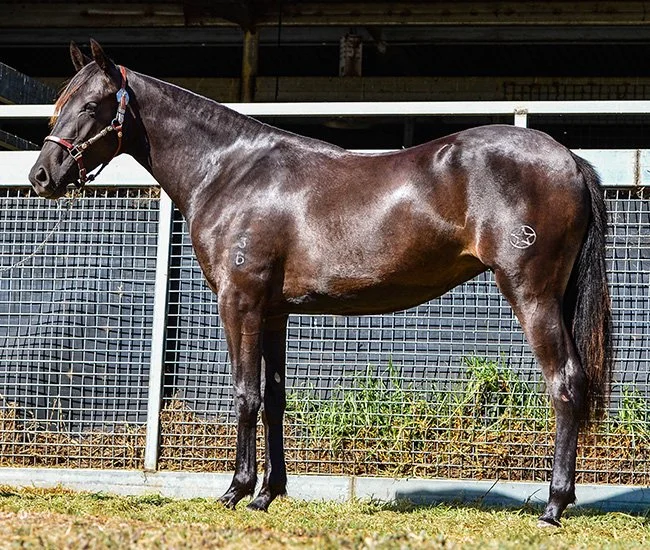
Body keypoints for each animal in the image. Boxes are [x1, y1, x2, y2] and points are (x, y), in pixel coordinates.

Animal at [29, 40, 612, 527]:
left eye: (90, 106)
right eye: (61, 103)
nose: (41, 176)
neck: (229, 171)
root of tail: (567, 158)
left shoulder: (239, 301)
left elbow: (245, 395)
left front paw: (236, 491)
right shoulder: (272, 311)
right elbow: (273, 398)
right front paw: (268, 494)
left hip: (531, 295)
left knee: (565, 384)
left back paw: (554, 506)